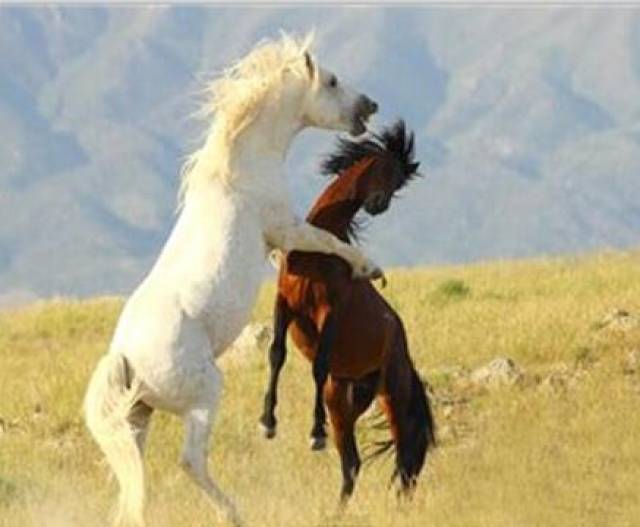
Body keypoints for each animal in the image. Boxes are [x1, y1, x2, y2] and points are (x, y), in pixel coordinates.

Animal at [83, 32, 385, 527]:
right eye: (332, 80)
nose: (370, 105)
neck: (239, 170)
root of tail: (124, 355)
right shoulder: (286, 230)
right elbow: (327, 240)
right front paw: (369, 267)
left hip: (137, 416)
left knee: (135, 477)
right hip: (204, 395)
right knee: (190, 461)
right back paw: (233, 513)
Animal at [259, 120, 436, 504]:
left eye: (399, 183)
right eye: (389, 170)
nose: (379, 205)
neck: (318, 249)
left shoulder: (330, 310)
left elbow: (319, 365)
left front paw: (314, 433)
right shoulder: (284, 303)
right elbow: (276, 354)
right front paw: (267, 421)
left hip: (392, 394)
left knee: (405, 458)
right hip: (344, 398)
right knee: (352, 462)